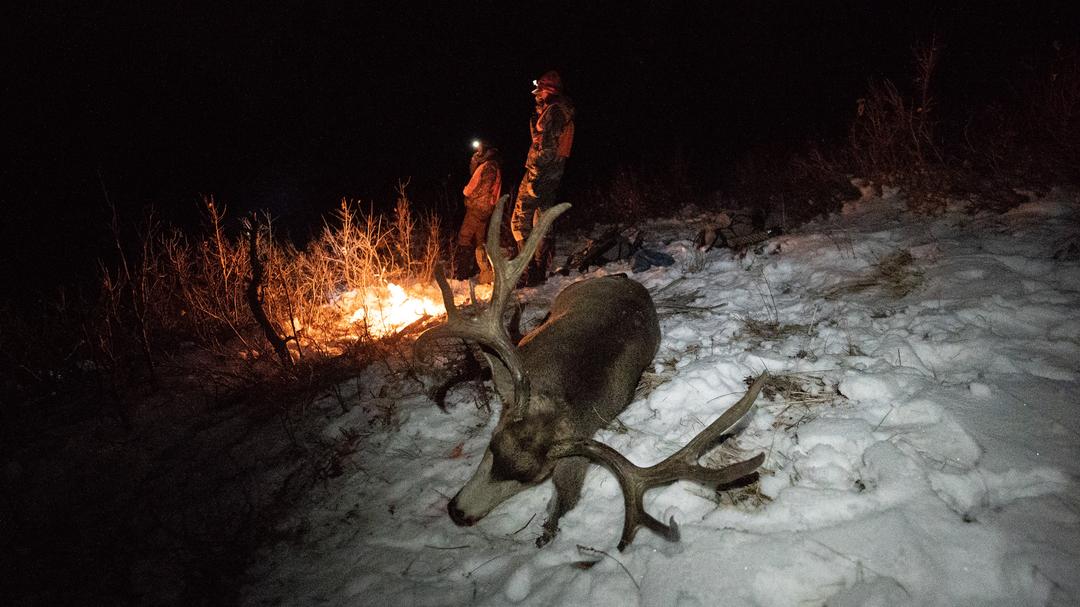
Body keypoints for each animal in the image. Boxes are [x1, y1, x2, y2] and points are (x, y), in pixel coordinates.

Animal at [416, 196, 766, 550]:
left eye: (530, 479)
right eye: (492, 445)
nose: (457, 512)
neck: (559, 396)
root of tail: (624, 279)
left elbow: (567, 495)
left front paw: (549, 528)